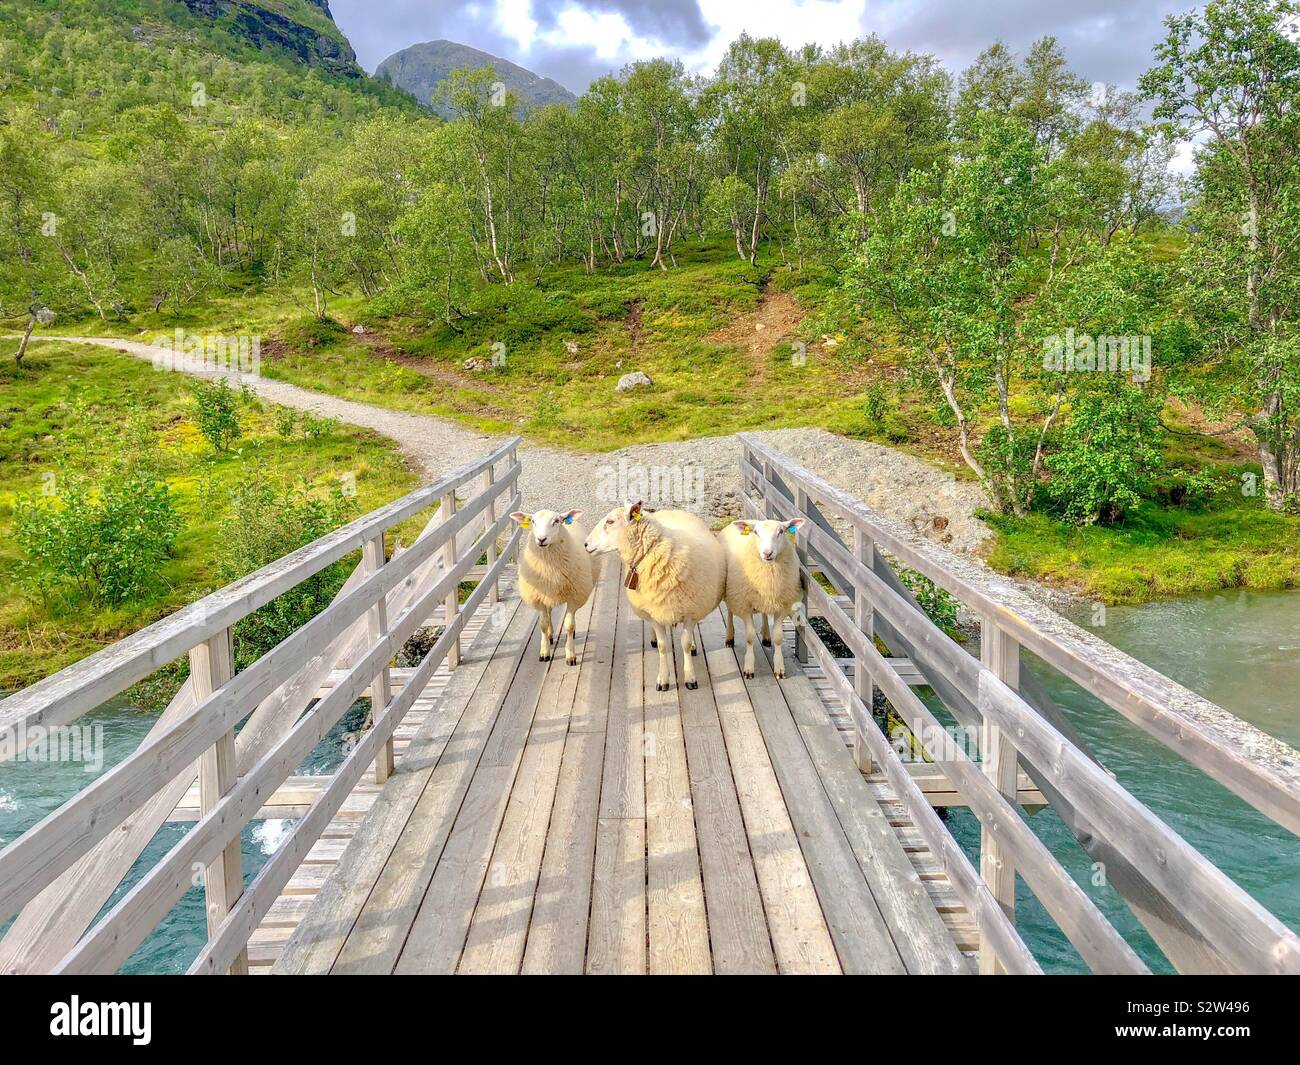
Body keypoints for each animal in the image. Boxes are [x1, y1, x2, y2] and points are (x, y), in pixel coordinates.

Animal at [511, 508, 600, 665]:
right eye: (533, 521)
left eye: (556, 521)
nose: (541, 539)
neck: (550, 570)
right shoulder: (539, 598)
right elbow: (543, 624)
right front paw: (544, 652)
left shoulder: (574, 596)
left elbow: (569, 625)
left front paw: (570, 655)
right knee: (549, 612)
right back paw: (551, 634)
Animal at [588, 501, 725, 691]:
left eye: (610, 521)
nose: (585, 544)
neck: (656, 552)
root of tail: (672, 510)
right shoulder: (654, 611)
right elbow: (662, 646)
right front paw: (663, 679)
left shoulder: (690, 610)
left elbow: (685, 643)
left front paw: (690, 677)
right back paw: (653, 638)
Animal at [719, 517, 805, 680]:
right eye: (756, 532)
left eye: (781, 531)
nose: (767, 553)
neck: (768, 572)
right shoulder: (744, 604)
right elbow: (750, 637)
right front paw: (748, 668)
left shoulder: (783, 606)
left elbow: (778, 637)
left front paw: (779, 668)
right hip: (731, 592)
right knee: (730, 612)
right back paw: (729, 638)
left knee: (765, 614)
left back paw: (766, 636)